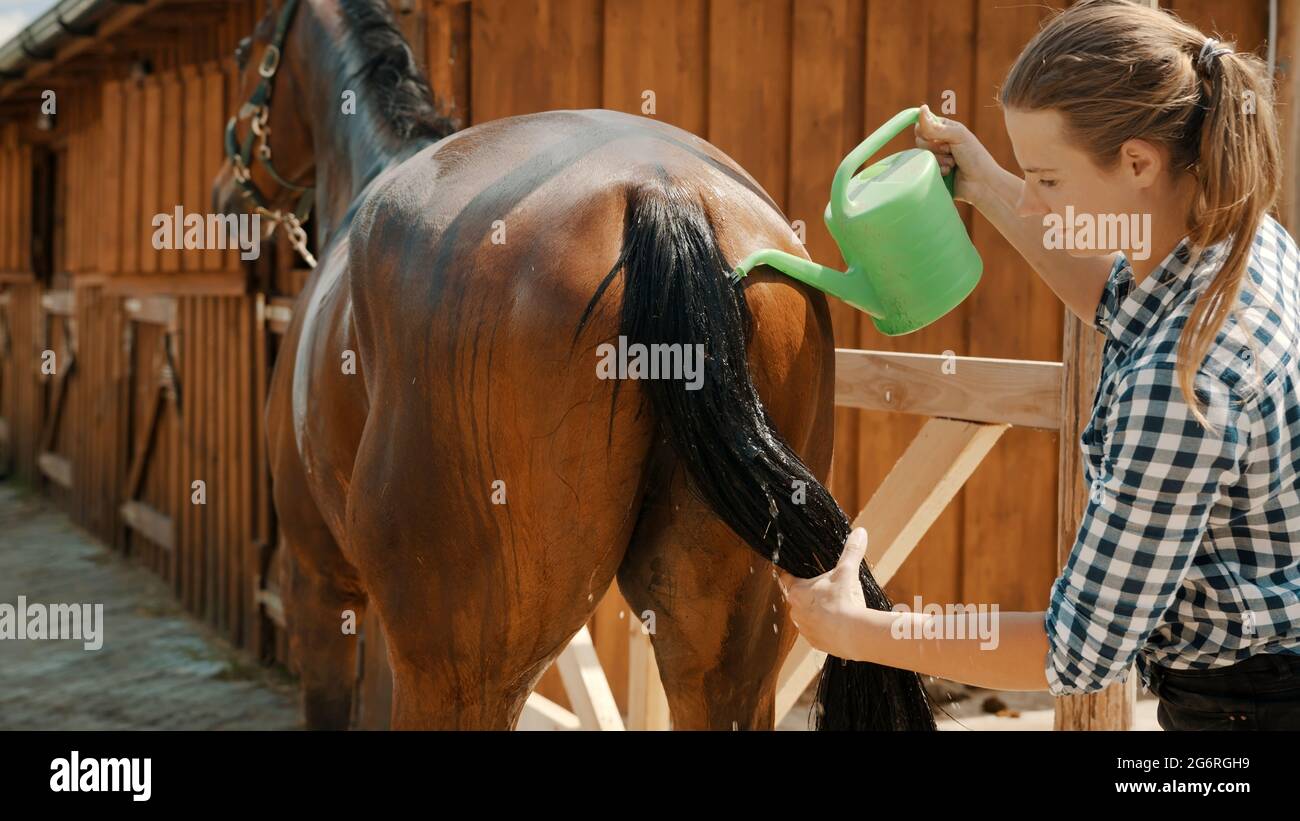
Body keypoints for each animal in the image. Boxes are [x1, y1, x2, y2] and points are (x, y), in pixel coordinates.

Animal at [212, 0, 934, 731]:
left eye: (243, 53)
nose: (224, 196)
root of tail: (663, 191)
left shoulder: (321, 586)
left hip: (457, 669)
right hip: (727, 646)